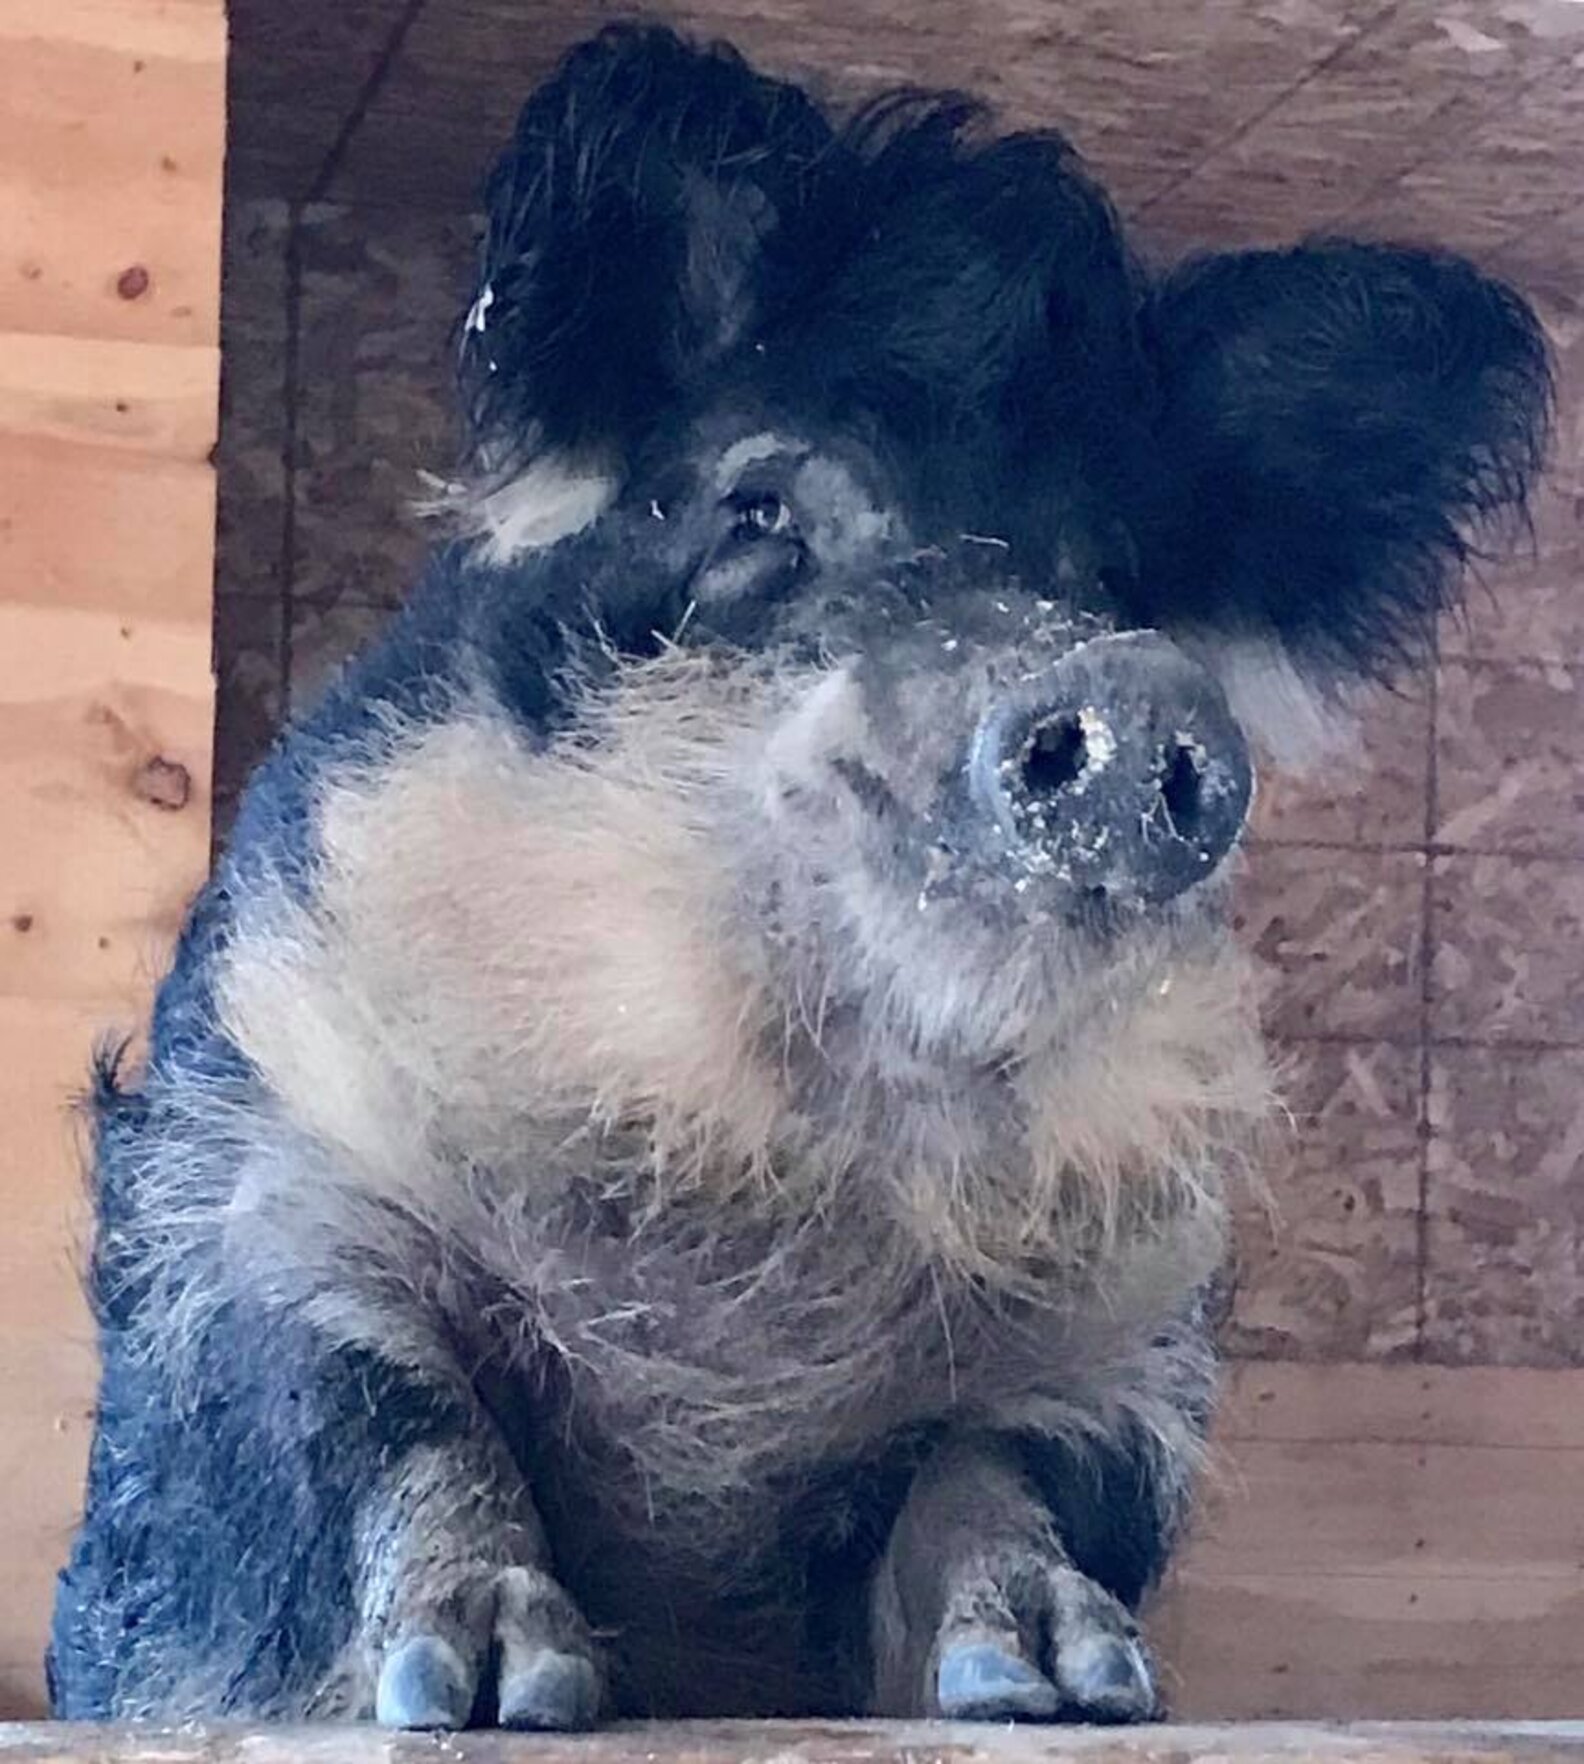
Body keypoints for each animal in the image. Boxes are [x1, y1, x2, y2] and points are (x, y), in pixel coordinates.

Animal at [49, 24, 1551, 1732]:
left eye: (1114, 580)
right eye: (758, 508)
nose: (1133, 691)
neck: (769, 1158)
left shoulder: (1126, 1346)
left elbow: (997, 1475)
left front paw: (1070, 1685)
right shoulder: (256, 1153)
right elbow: (380, 1412)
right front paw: (487, 1691)